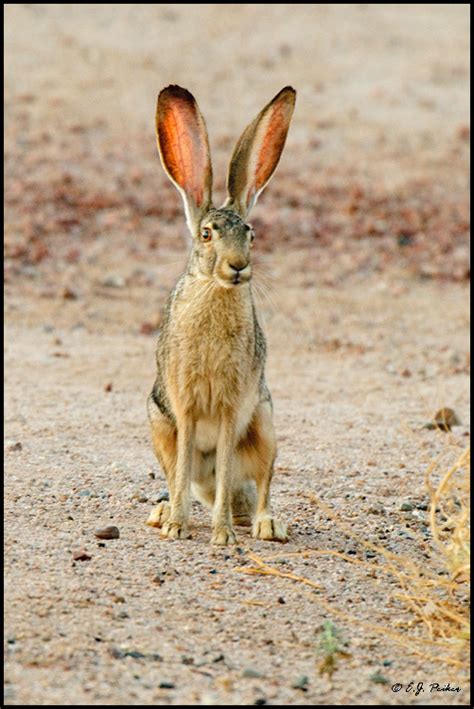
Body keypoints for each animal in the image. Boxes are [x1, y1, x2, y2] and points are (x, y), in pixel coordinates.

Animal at [146, 84, 296, 545]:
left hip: (264, 425)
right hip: (158, 423)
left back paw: (264, 524)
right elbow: (181, 470)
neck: (215, 291)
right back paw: (163, 514)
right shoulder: (183, 406)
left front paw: (223, 535)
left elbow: (230, 463)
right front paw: (177, 527)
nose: (238, 267)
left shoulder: (232, 407)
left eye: (251, 233)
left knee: (257, 483)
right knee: (181, 476)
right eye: (207, 234)